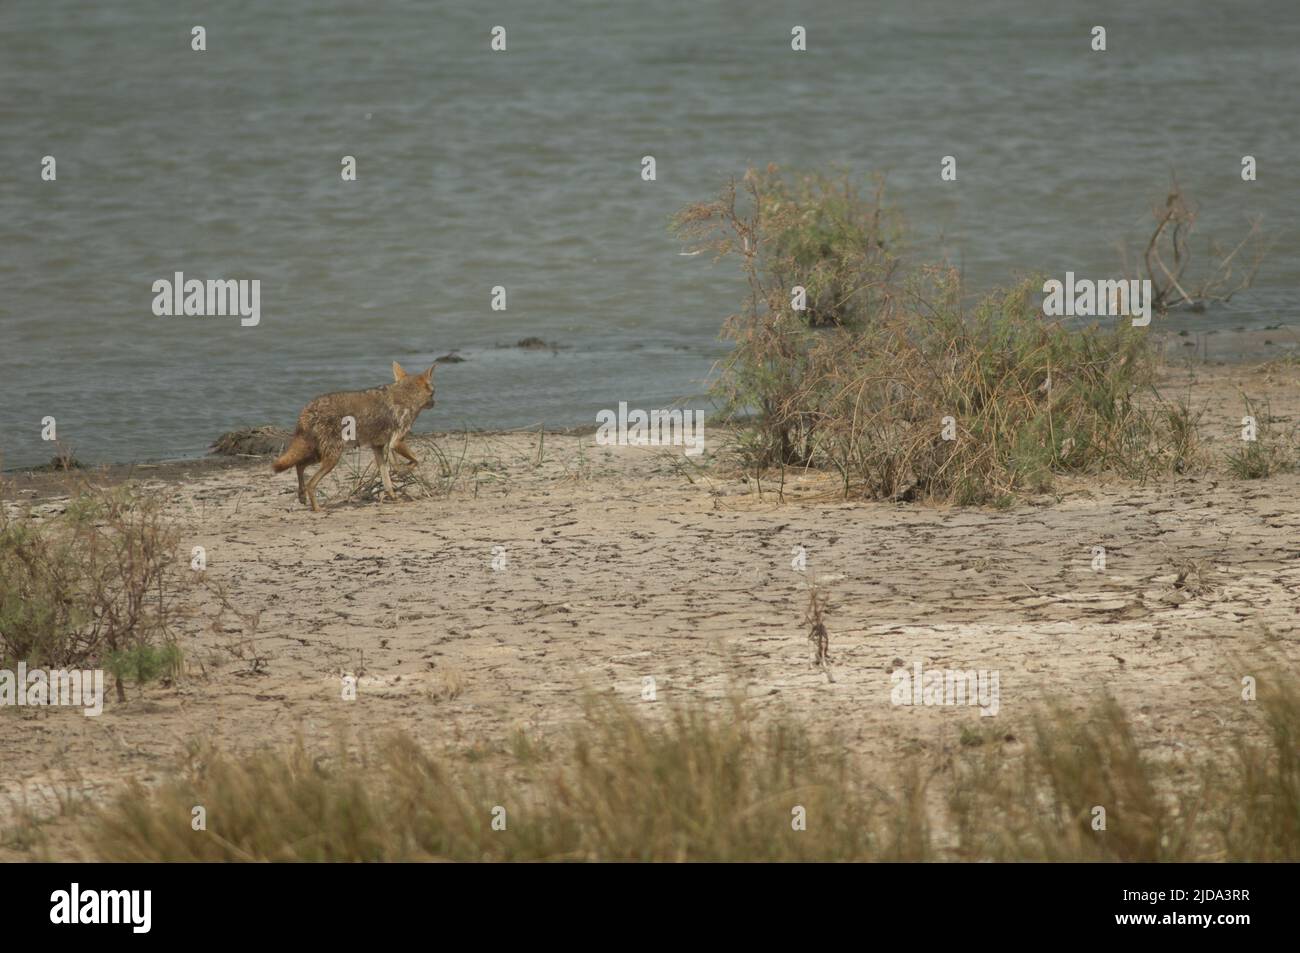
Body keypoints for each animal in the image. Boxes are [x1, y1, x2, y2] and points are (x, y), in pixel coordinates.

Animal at [272, 362, 436, 511]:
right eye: (434, 393)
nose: (435, 403)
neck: (406, 394)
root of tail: (308, 408)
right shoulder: (396, 442)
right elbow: (415, 461)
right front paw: (403, 471)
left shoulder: (380, 446)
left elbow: (387, 479)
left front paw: (394, 496)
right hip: (331, 458)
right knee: (310, 483)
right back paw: (318, 509)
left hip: (319, 456)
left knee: (299, 466)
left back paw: (302, 497)